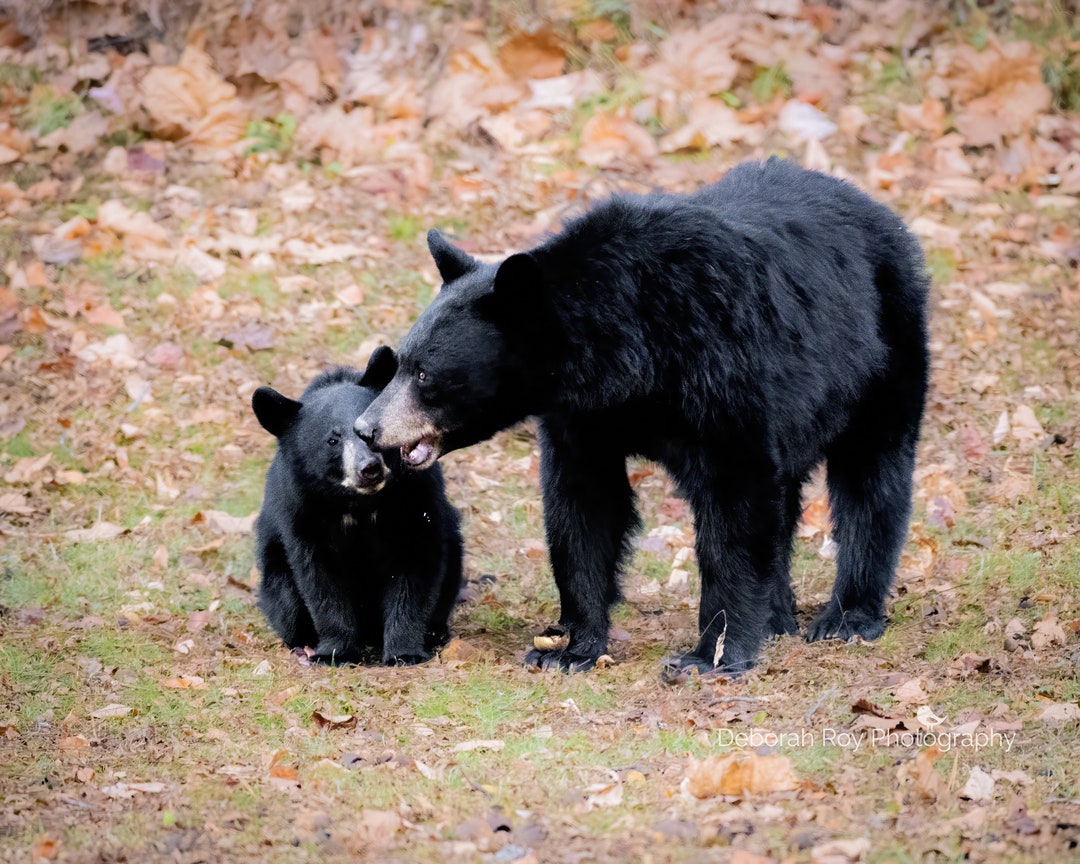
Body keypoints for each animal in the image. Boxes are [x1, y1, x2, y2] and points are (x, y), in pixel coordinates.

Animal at [252, 347, 464, 666]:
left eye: (368, 433)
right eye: (332, 440)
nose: (369, 468)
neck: (359, 502)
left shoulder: (418, 497)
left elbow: (415, 569)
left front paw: (404, 652)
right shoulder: (302, 509)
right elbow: (321, 581)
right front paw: (334, 653)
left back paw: (435, 634)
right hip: (274, 568)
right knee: (286, 603)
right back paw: (304, 644)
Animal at [354, 158, 930, 675]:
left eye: (425, 375)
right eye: (400, 362)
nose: (367, 427)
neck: (630, 355)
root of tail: (876, 207)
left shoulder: (722, 365)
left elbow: (734, 506)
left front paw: (711, 655)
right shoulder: (582, 418)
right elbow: (583, 509)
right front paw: (569, 648)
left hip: (882, 350)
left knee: (872, 478)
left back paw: (847, 618)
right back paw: (777, 616)